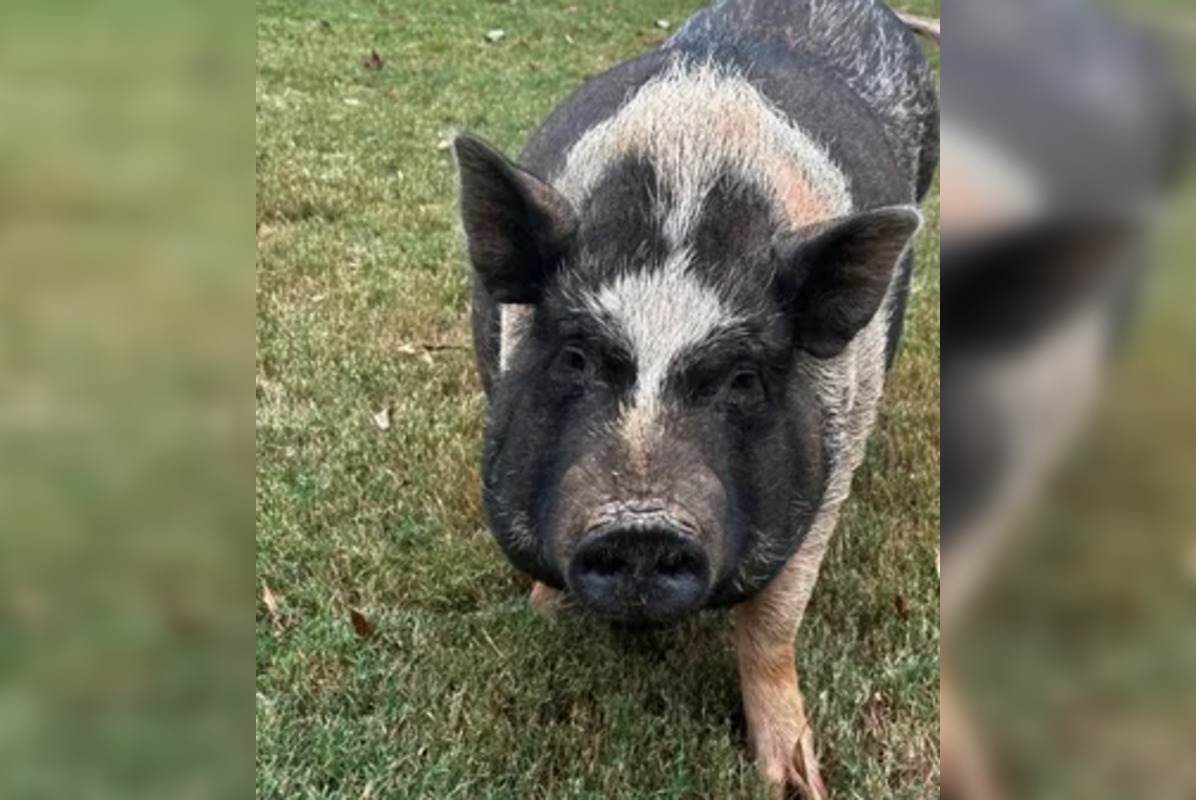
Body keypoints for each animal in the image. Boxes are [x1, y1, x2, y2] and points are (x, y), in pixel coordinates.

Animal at [452, 0, 938, 793]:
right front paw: (540, 615)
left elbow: (772, 626)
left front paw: (792, 782)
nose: (641, 524)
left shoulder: (832, 466)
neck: (687, 188)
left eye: (743, 381)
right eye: (574, 359)